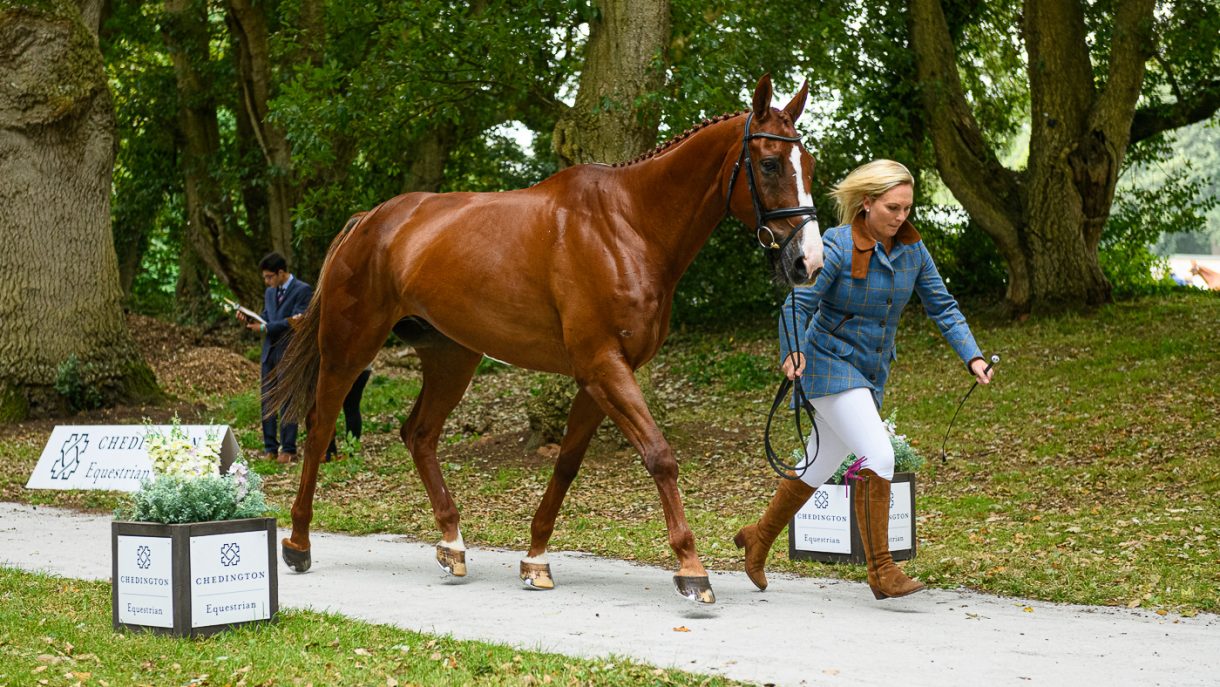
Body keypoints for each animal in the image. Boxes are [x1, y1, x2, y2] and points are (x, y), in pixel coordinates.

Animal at [267, 74, 823, 604]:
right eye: (770, 164)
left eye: (809, 164)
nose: (807, 262)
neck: (628, 226)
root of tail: (371, 220)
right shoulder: (603, 366)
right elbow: (660, 456)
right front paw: (691, 569)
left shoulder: (600, 375)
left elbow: (568, 464)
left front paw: (536, 558)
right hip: (350, 346)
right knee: (318, 428)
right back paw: (298, 543)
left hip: (453, 357)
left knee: (419, 434)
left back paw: (452, 543)